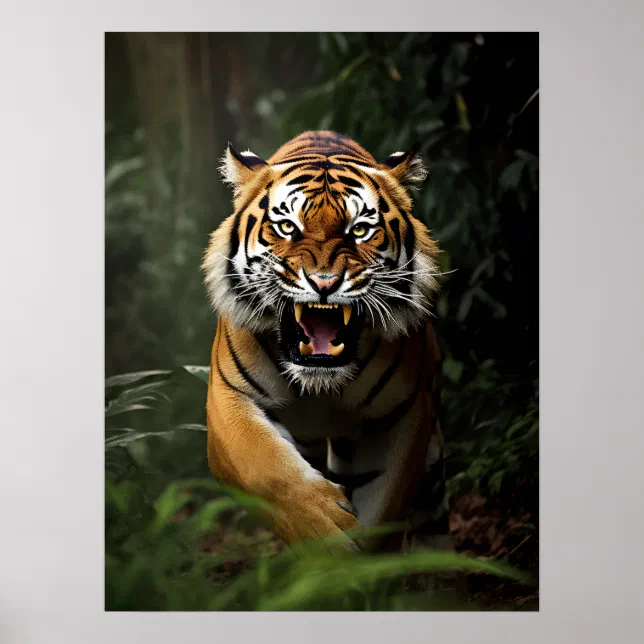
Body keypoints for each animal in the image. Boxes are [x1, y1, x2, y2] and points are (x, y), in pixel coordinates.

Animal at [202, 131, 448, 551]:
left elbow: (385, 505)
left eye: (360, 230)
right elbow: (265, 469)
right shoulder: (227, 398)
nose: (324, 282)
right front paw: (326, 533)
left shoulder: (402, 413)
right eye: (287, 226)